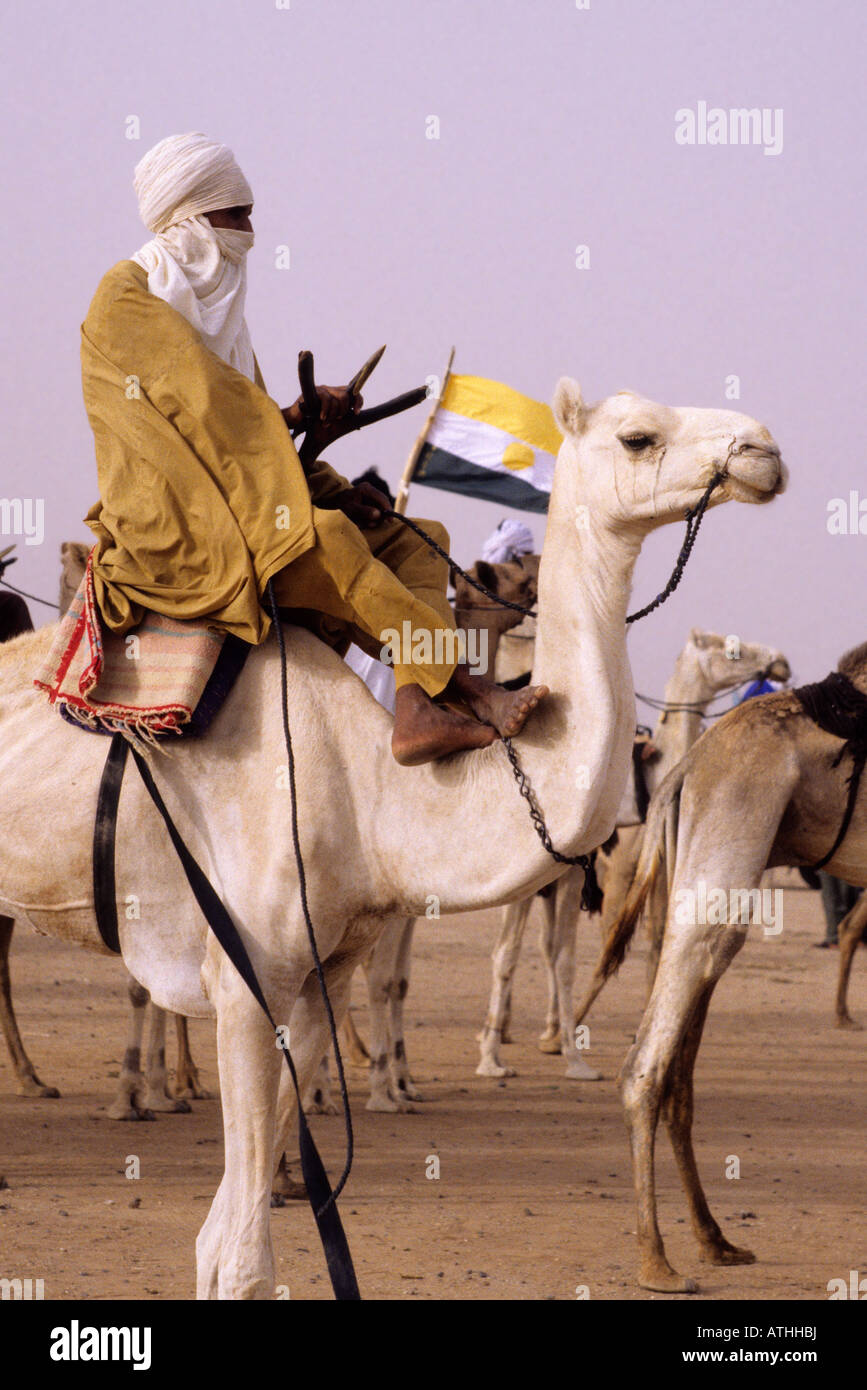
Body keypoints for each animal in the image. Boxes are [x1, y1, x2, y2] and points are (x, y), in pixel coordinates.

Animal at [476, 630, 791, 1081]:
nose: (781, 662)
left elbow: (634, 944)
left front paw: (576, 1049)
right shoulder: (613, 870)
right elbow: (529, 953)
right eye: (734, 650)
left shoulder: (622, 872)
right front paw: (497, 1060)